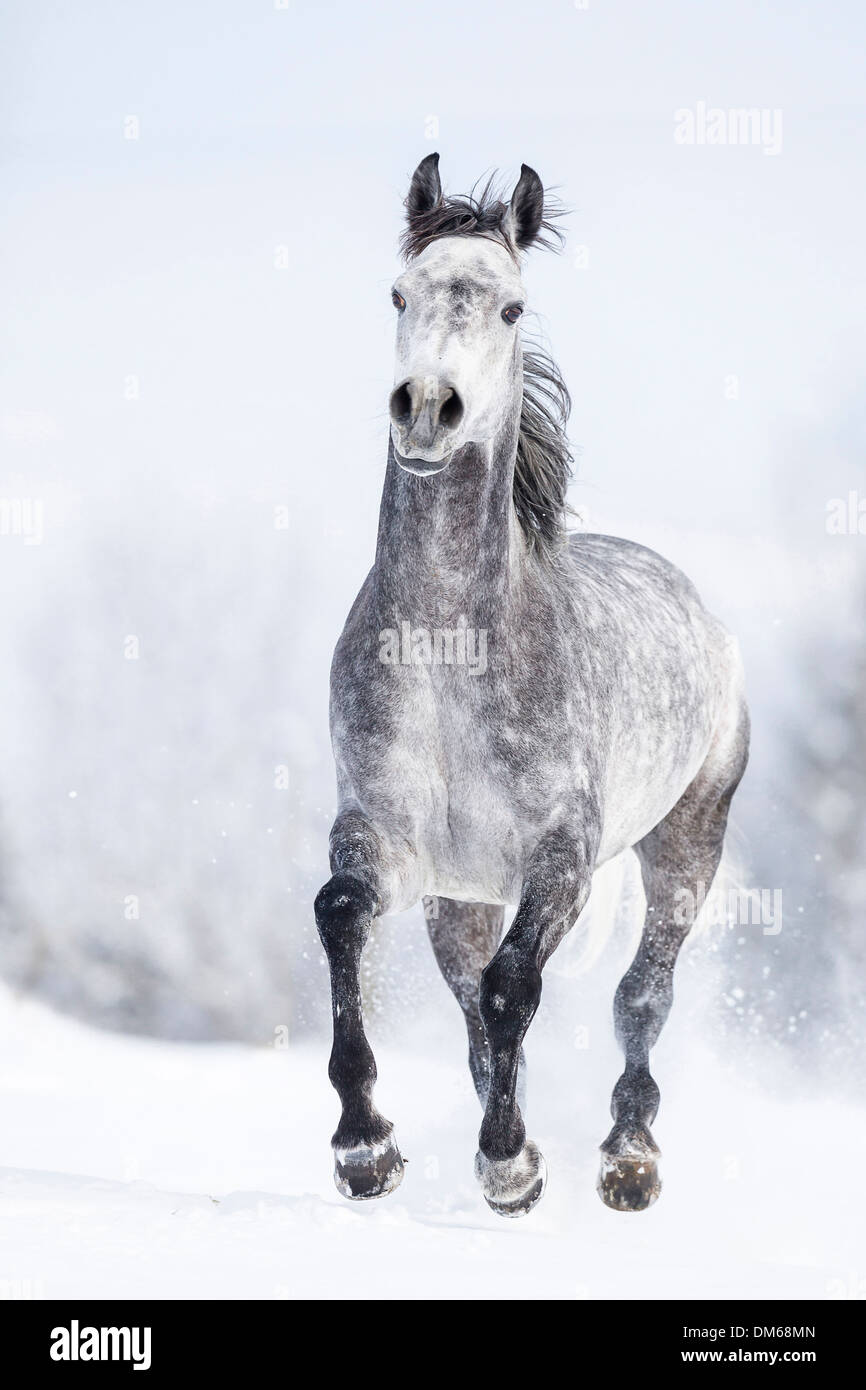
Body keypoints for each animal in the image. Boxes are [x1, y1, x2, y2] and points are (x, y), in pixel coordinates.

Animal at [314, 154, 749, 1217]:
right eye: (399, 293)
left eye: (510, 307)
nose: (427, 407)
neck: (446, 654)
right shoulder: (384, 839)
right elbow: (345, 921)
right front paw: (365, 1148)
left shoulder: (560, 859)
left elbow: (517, 988)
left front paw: (510, 1165)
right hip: (458, 898)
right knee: (474, 1006)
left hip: (688, 843)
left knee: (643, 994)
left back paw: (628, 1160)